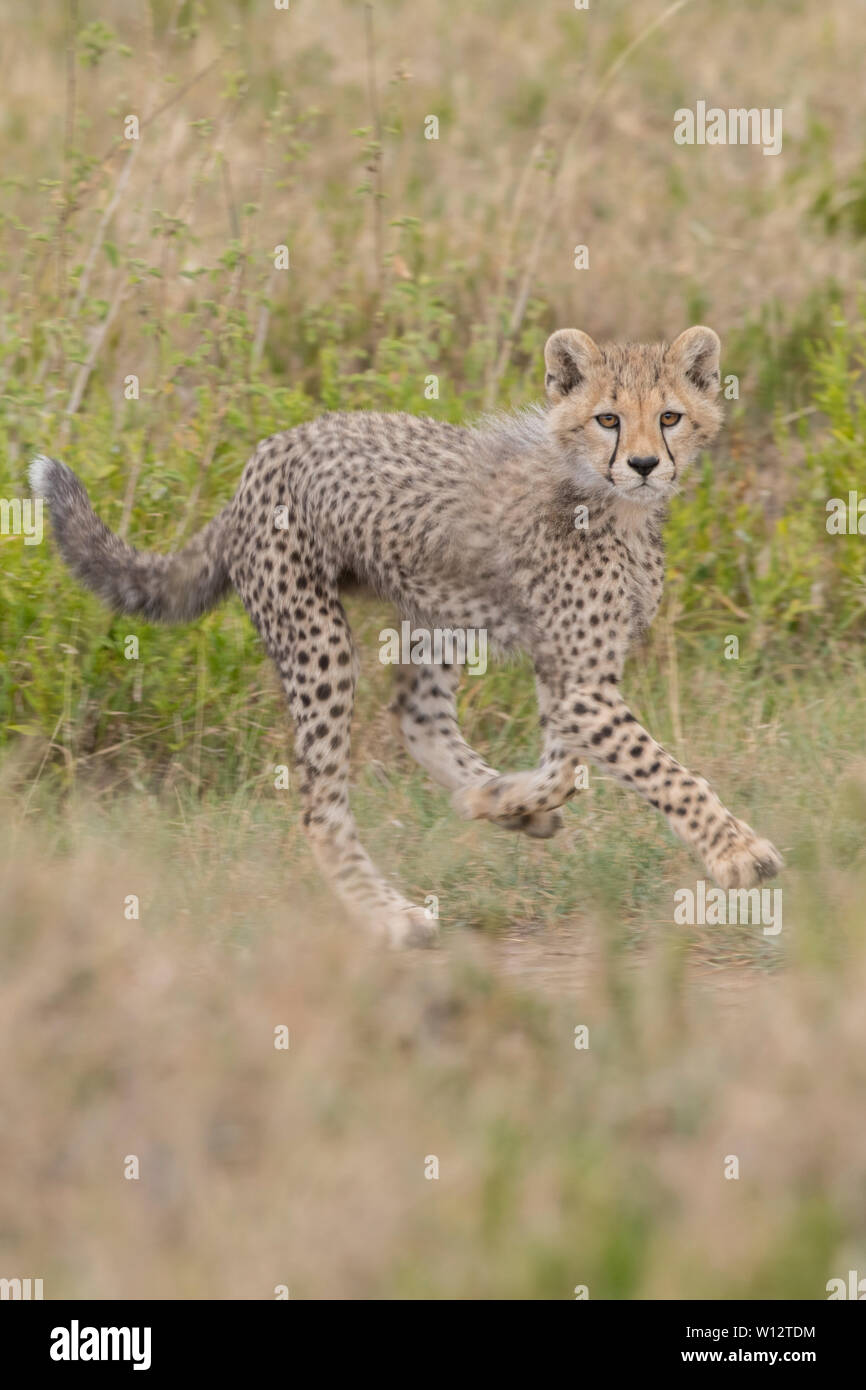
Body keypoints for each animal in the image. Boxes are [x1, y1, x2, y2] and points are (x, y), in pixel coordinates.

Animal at [30, 325, 783, 947]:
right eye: (608, 419)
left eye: (669, 417)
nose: (646, 465)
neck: (610, 506)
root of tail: (262, 457)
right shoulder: (581, 684)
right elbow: (656, 769)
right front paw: (736, 851)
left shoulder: (573, 674)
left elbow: (566, 767)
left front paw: (505, 800)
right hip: (319, 642)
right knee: (322, 806)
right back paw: (386, 914)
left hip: (438, 613)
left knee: (416, 715)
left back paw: (490, 798)